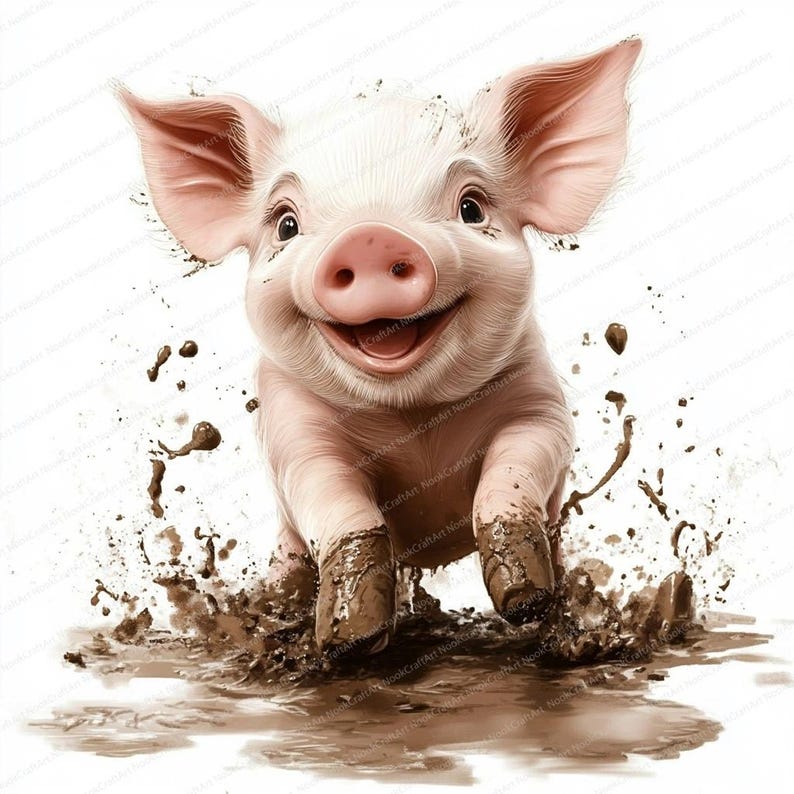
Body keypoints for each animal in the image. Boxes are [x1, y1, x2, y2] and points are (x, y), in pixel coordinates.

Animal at [118, 39, 641, 656]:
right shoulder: (291, 434)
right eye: (286, 224)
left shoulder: (539, 404)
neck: (412, 423)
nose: (370, 236)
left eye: (472, 207)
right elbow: (337, 503)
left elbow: (514, 472)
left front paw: (526, 602)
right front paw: (350, 642)